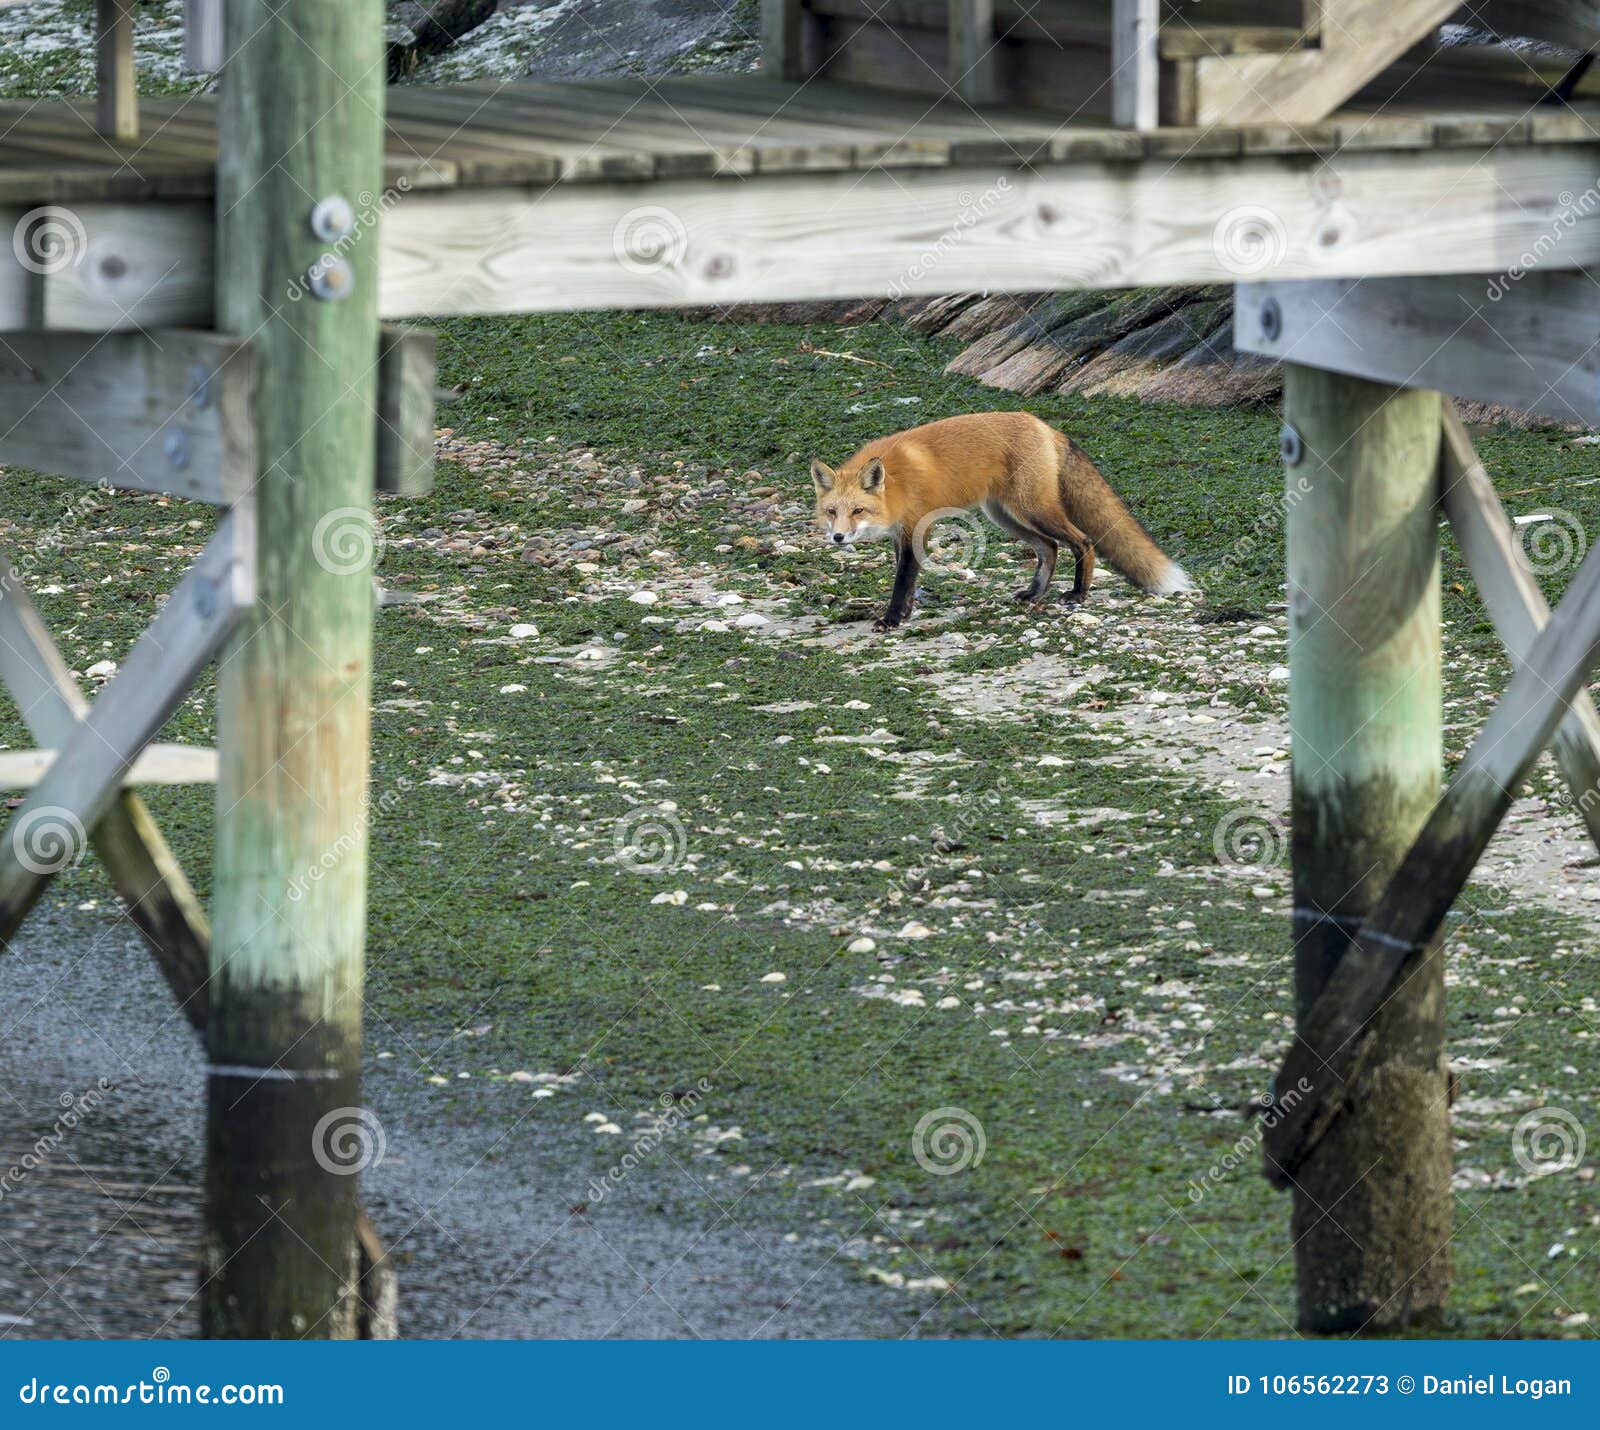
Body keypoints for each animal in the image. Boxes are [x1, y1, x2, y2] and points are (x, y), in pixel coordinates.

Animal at [811, 411, 1193, 630]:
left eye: (858, 511)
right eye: (832, 512)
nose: (838, 538)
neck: (895, 486)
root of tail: (1045, 426)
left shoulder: (917, 527)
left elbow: (903, 580)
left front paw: (891, 619)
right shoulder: (900, 533)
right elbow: (907, 578)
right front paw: (903, 615)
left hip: (1033, 508)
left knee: (1082, 541)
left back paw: (1078, 593)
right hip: (1005, 516)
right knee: (1050, 548)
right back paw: (1035, 593)